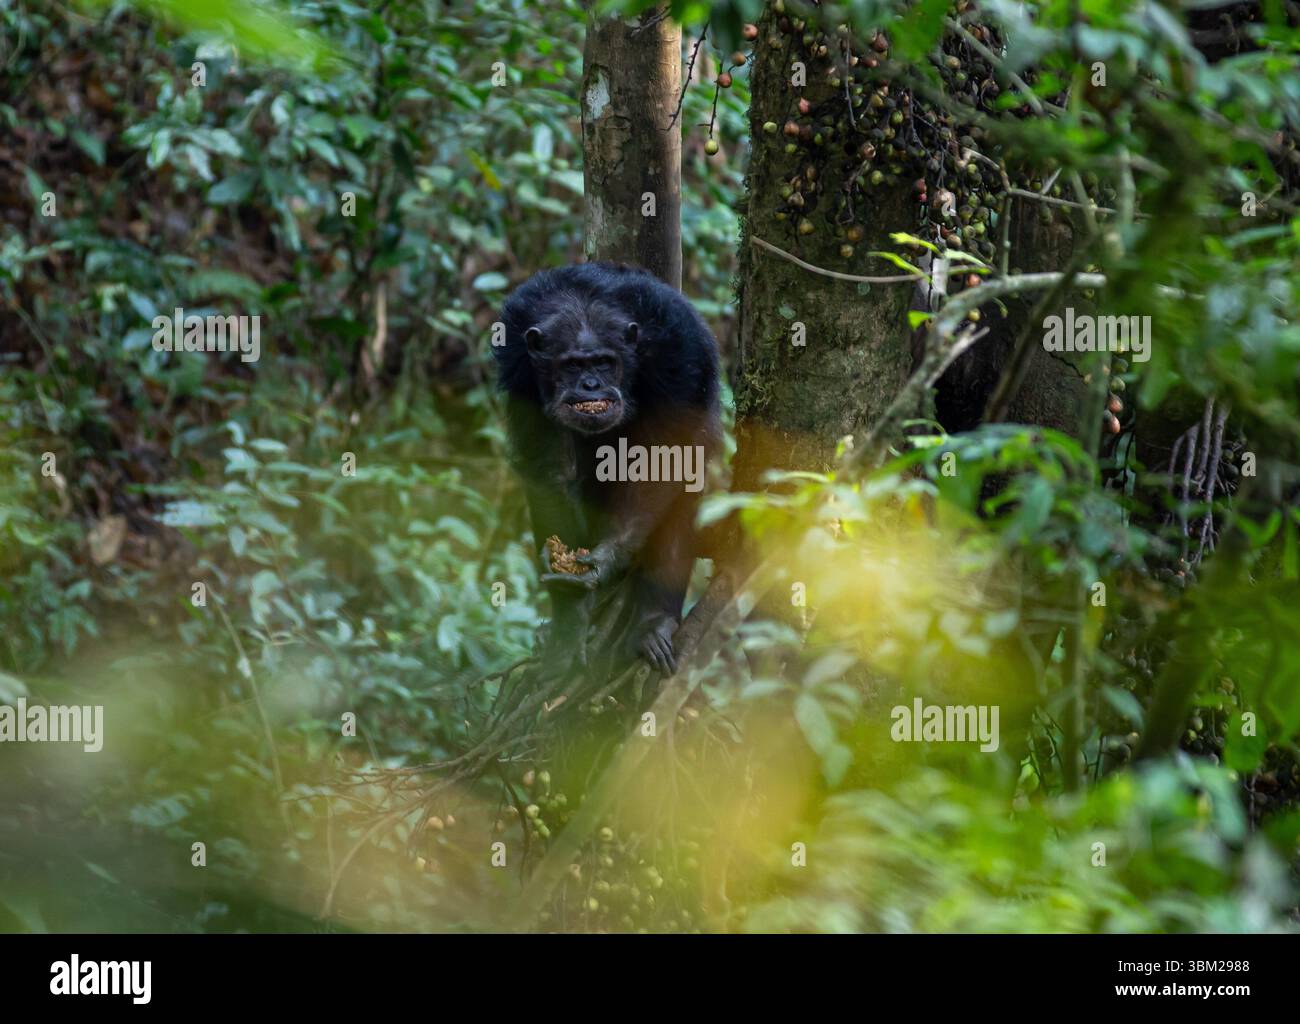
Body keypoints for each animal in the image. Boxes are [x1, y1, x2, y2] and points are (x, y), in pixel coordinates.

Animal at [495, 262, 721, 674]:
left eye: (604, 362)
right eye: (571, 365)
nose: (590, 385)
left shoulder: (678, 352)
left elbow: (667, 457)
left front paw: (607, 559)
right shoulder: (517, 362)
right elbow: (548, 465)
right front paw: (570, 615)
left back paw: (654, 623)